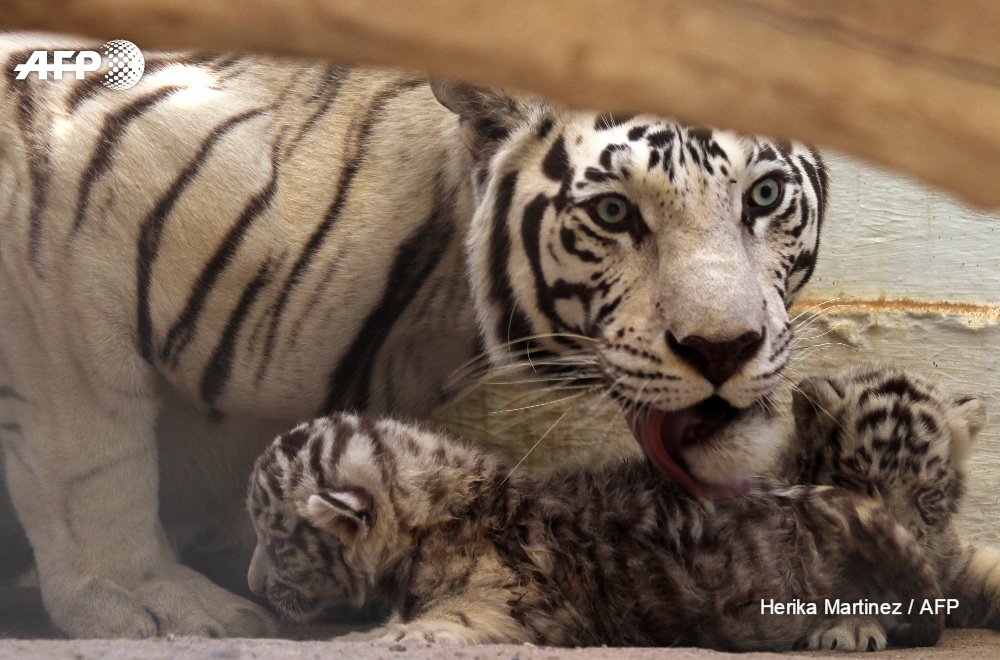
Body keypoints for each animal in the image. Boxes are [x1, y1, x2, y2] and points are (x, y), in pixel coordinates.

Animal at [0, 32, 826, 638]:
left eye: (764, 196)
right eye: (615, 213)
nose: (723, 349)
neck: (440, 312)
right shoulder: (60, 214)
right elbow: (90, 459)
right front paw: (148, 601)